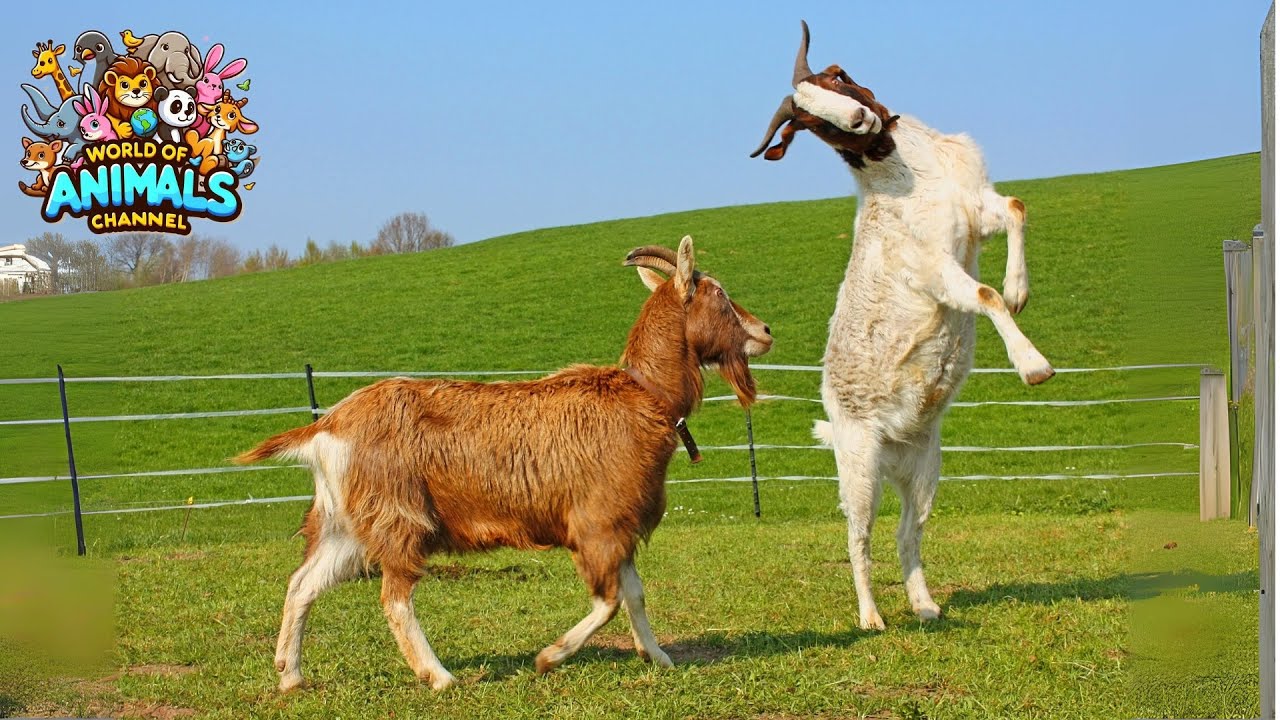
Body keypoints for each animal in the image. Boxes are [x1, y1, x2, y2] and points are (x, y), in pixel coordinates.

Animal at [235, 236, 772, 691]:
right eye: (719, 293)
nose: (766, 331)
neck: (644, 396)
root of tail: (328, 426)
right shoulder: (596, 523)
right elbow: (608, 602)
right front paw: (549, 657)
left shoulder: (622, 524)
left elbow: (635, 594)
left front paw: (658, 657)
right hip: (397, 515)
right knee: (394, 597)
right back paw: (439, 676)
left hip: (344, 522)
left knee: (303, 583)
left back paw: (290, 676)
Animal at [751, 22, 1054, 631]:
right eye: (809, 122)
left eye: (835, 79)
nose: (858, 121)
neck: (909, 170)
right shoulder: (932, 268)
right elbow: (981, 295)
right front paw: (1033, 366)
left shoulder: (974, 209)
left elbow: (1015, 207)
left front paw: (1020, 289)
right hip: (858, 466)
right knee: (858, 536)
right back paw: (871, 616)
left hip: (925, 466)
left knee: (907, 532)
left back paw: (925, 605)